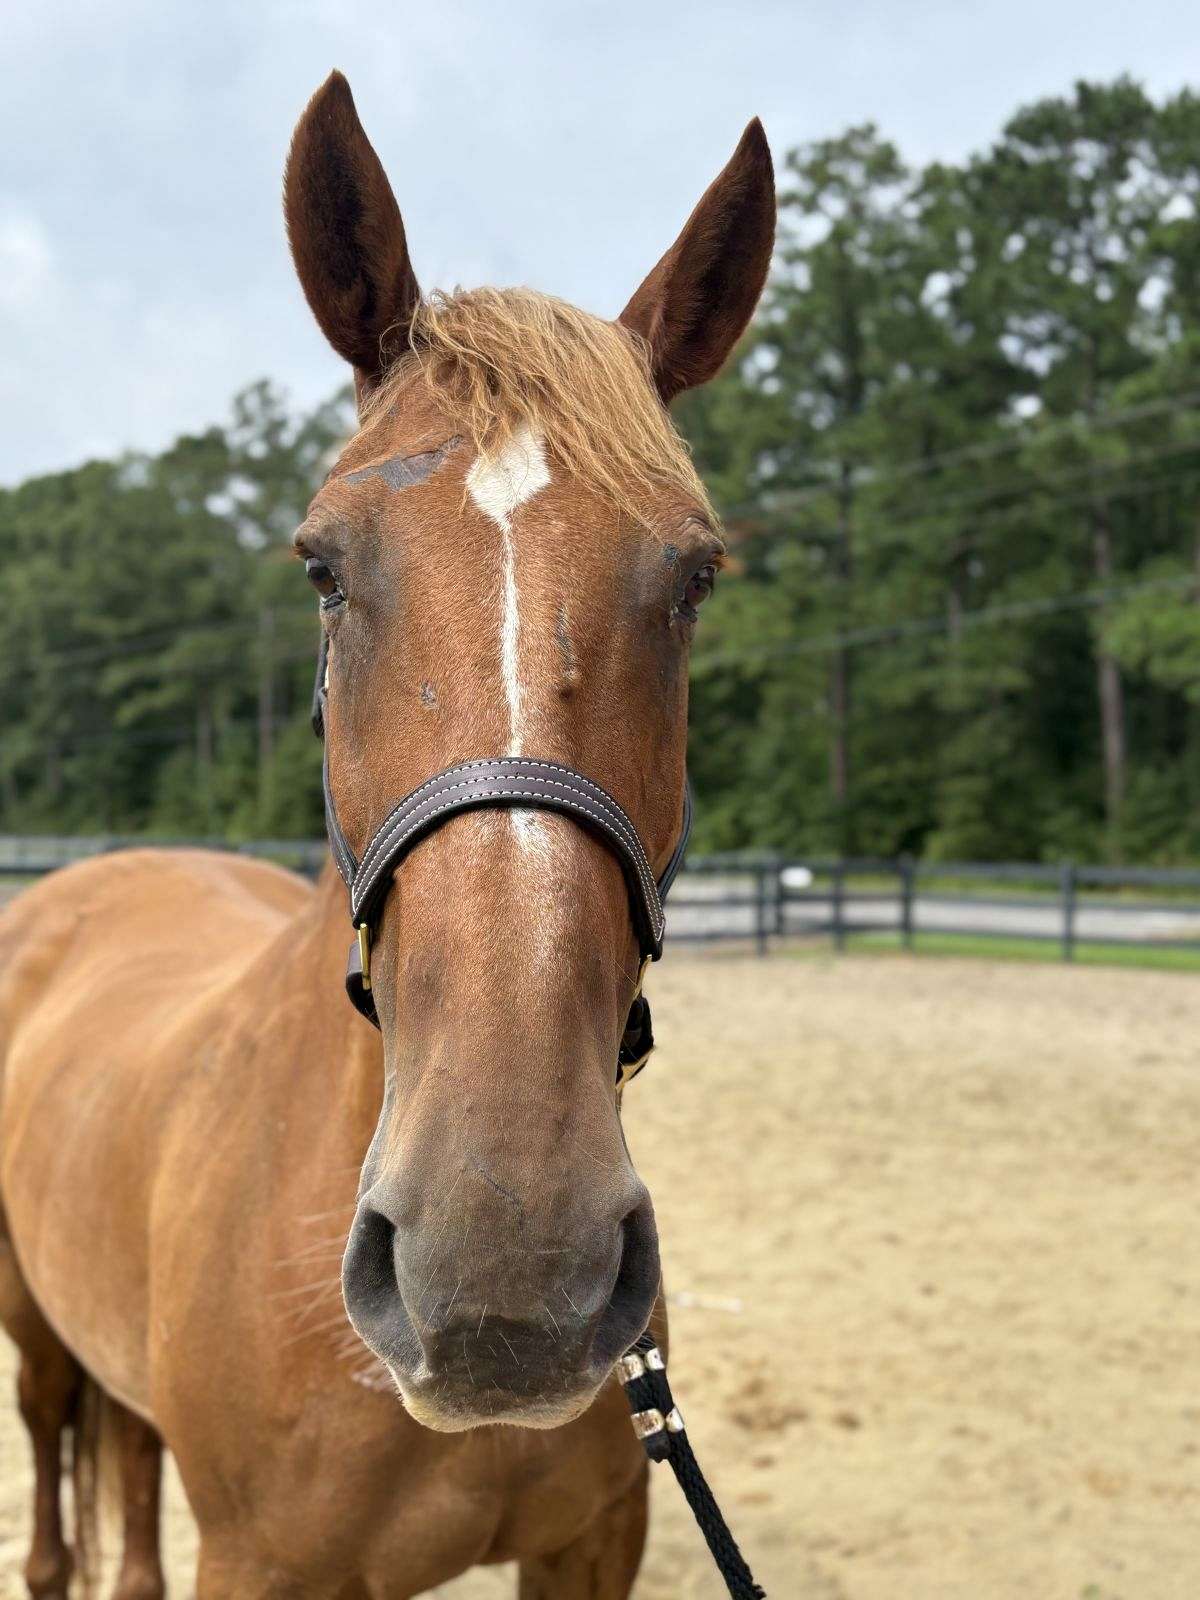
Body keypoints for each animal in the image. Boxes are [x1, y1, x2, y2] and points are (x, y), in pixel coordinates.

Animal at [0, 70, 774, 1598]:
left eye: (695, 577)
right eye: (323, 567)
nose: (505, 1272)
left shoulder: (593, 1547)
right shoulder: (260, 1564)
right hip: (33, 1333)